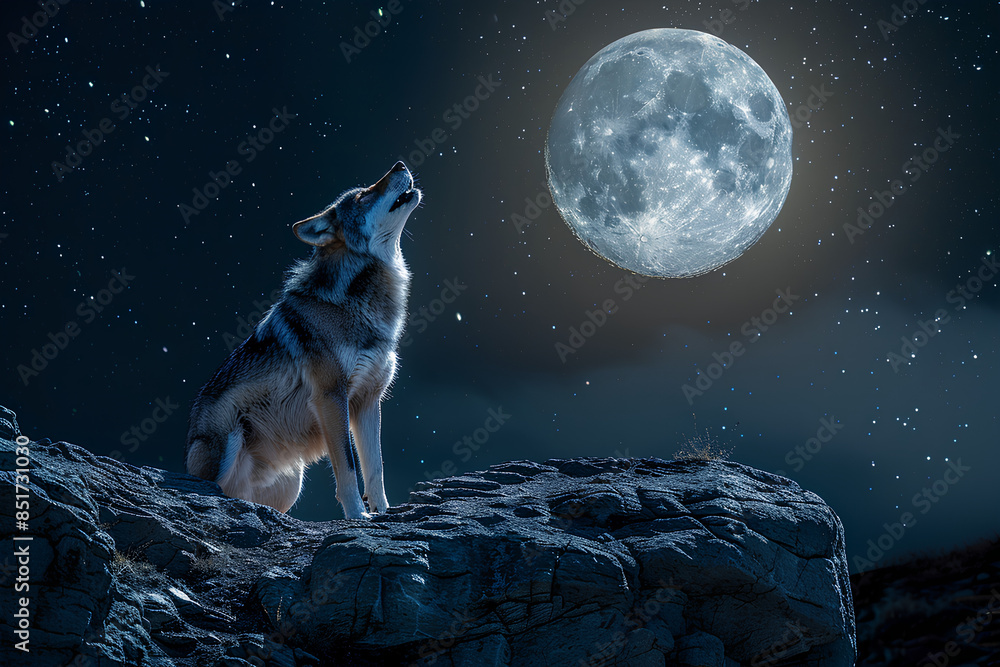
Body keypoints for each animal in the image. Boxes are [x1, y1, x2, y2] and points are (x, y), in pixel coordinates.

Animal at [185, 161, 420, 519]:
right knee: (214, 491)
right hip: (227, 443)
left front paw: (383, 512)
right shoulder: (331, 397)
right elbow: (348, 466)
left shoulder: (369, 401)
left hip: (291, 482)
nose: (400, 165)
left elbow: (375, 467)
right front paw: (357, 515)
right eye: (363, 195)